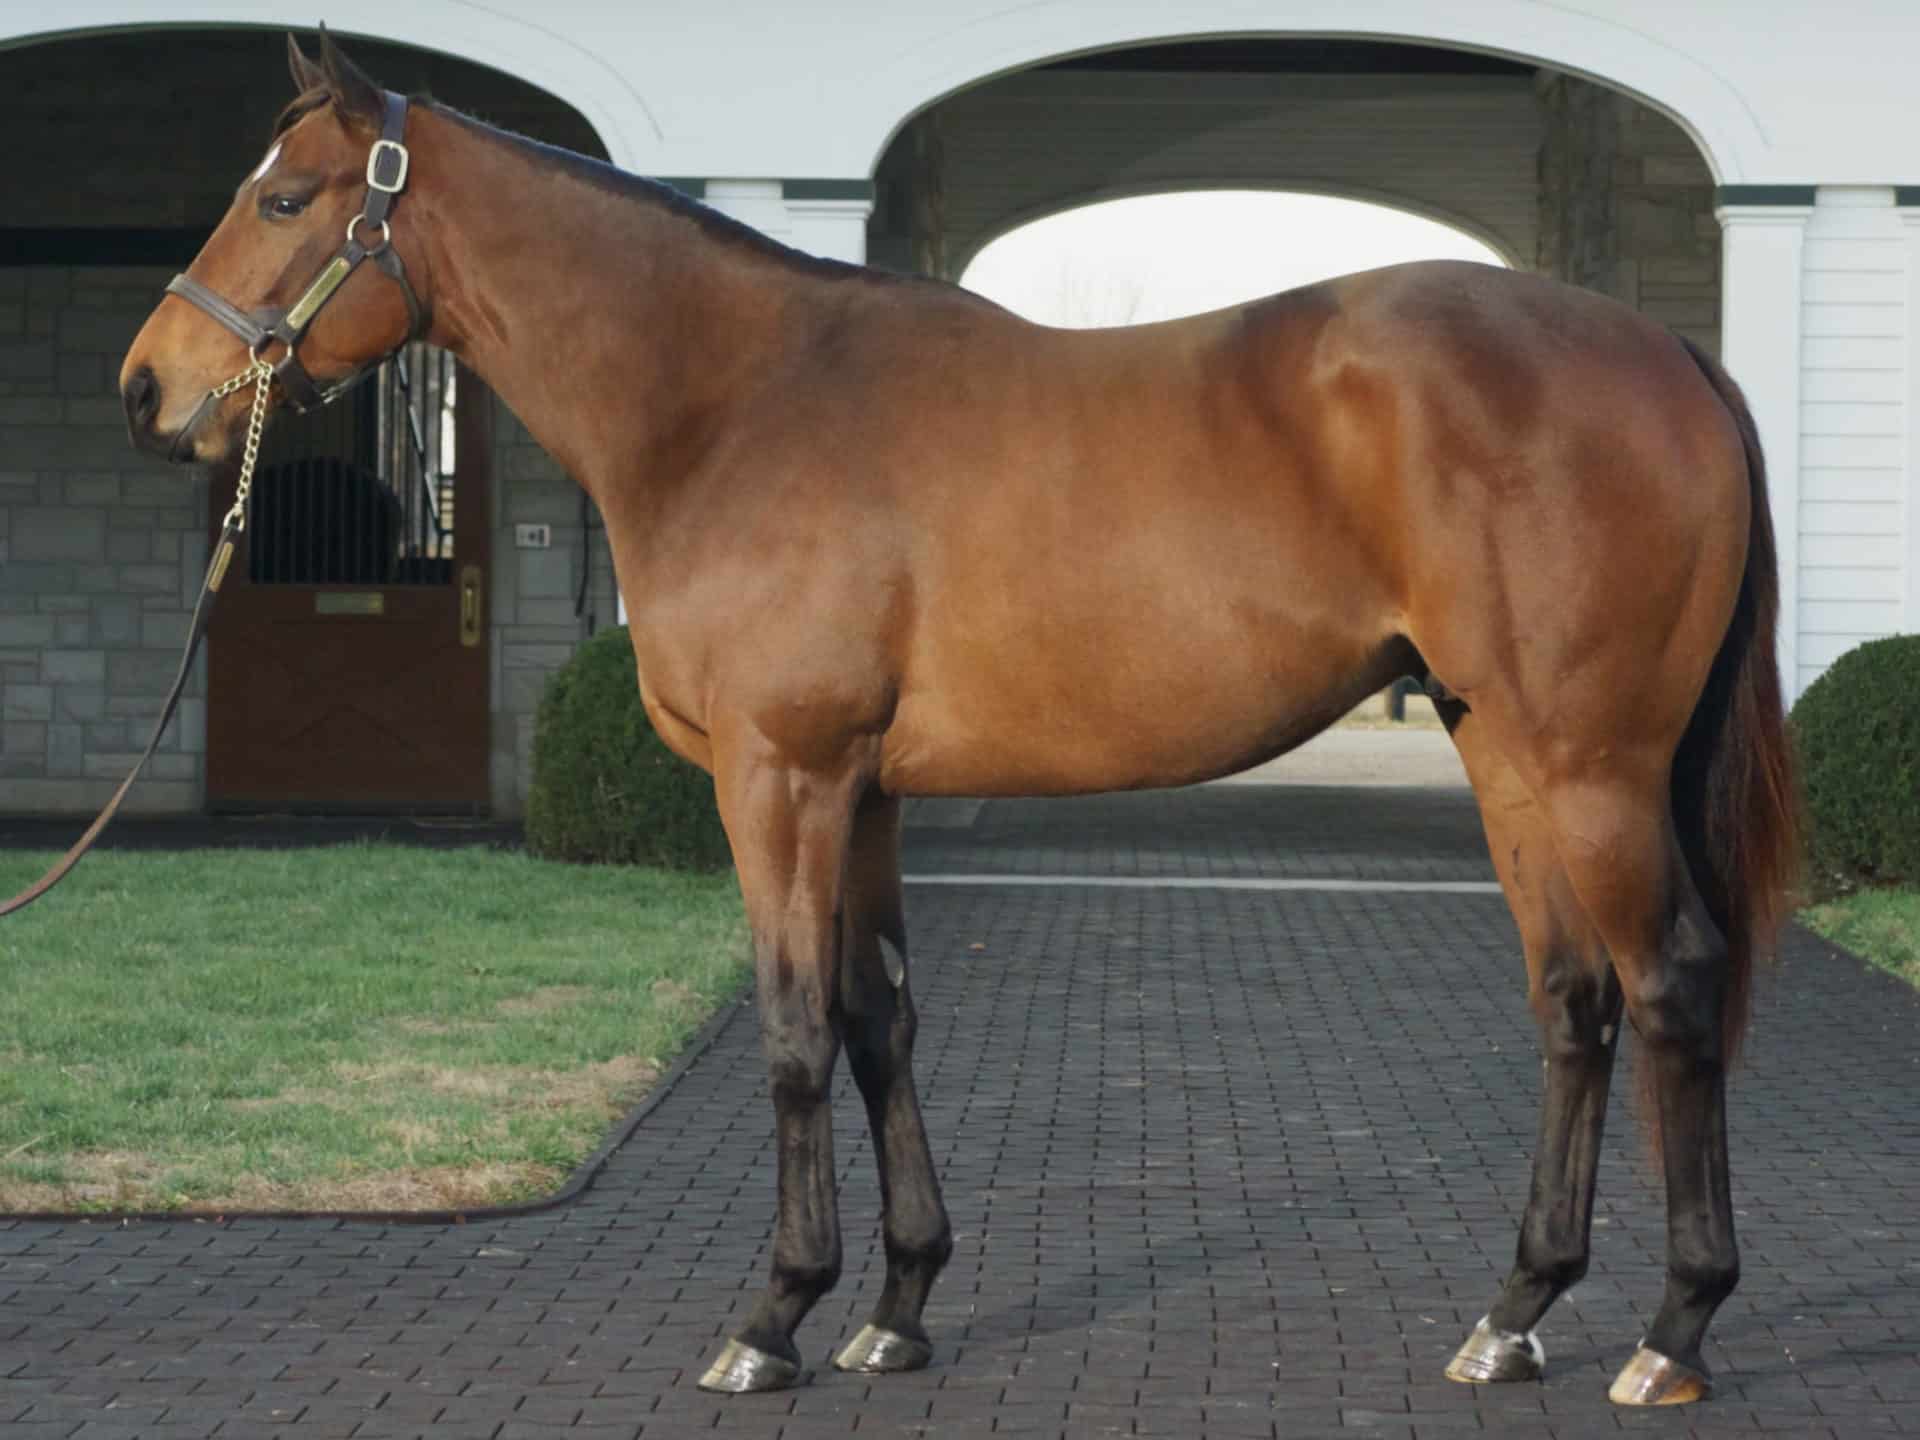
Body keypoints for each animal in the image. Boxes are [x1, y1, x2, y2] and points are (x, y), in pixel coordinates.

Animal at [119, 31, 1798, 1406]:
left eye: (288, 200)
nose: (149, 386)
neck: (737, 402)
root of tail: (1675, 356)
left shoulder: (778, 778)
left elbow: (794, 1031)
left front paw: (773, 1319)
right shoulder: (862, 789)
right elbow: (880, 1020)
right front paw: (899, 1307)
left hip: (1593, 764)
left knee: (1672, 986)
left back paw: (1673, 1332)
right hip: (1502, 749)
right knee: (1574, 1003)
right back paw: (1513, 1316)